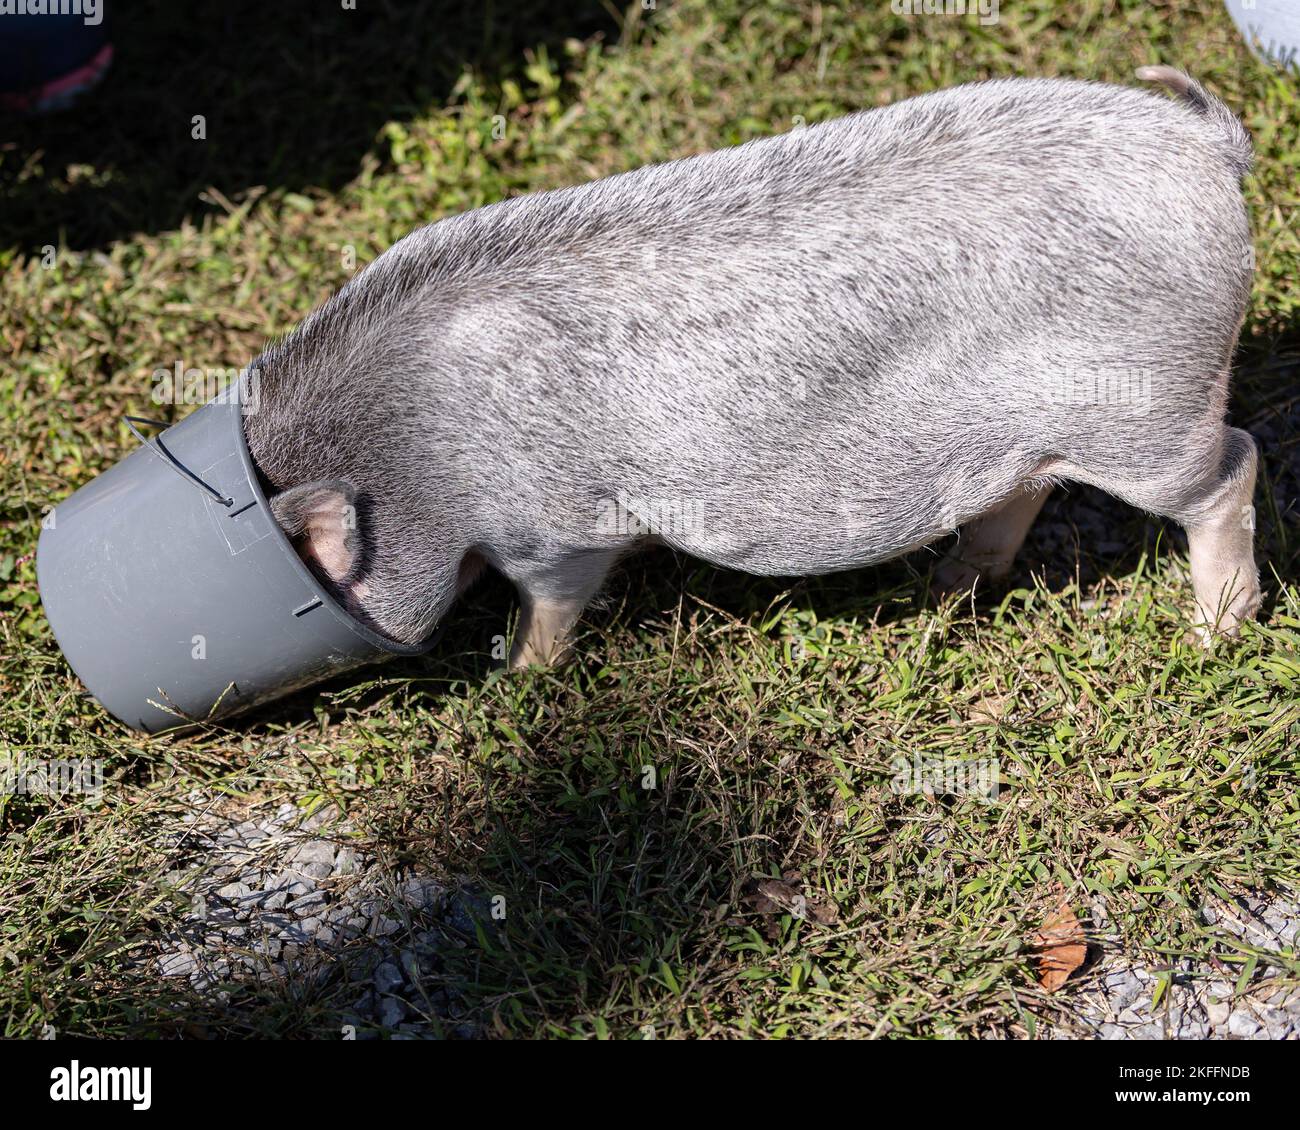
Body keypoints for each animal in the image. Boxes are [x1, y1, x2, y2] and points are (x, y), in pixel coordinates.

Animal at [244, 66, 1261, 669]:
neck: (404, 450)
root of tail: (1208, 144)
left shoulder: (559, 531)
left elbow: (550, 608)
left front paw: (516, 684)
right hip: (1037, 435)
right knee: (1027, 491)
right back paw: (941, 592)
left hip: (1150, 411)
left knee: (1234, 468)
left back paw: (1212, 636)